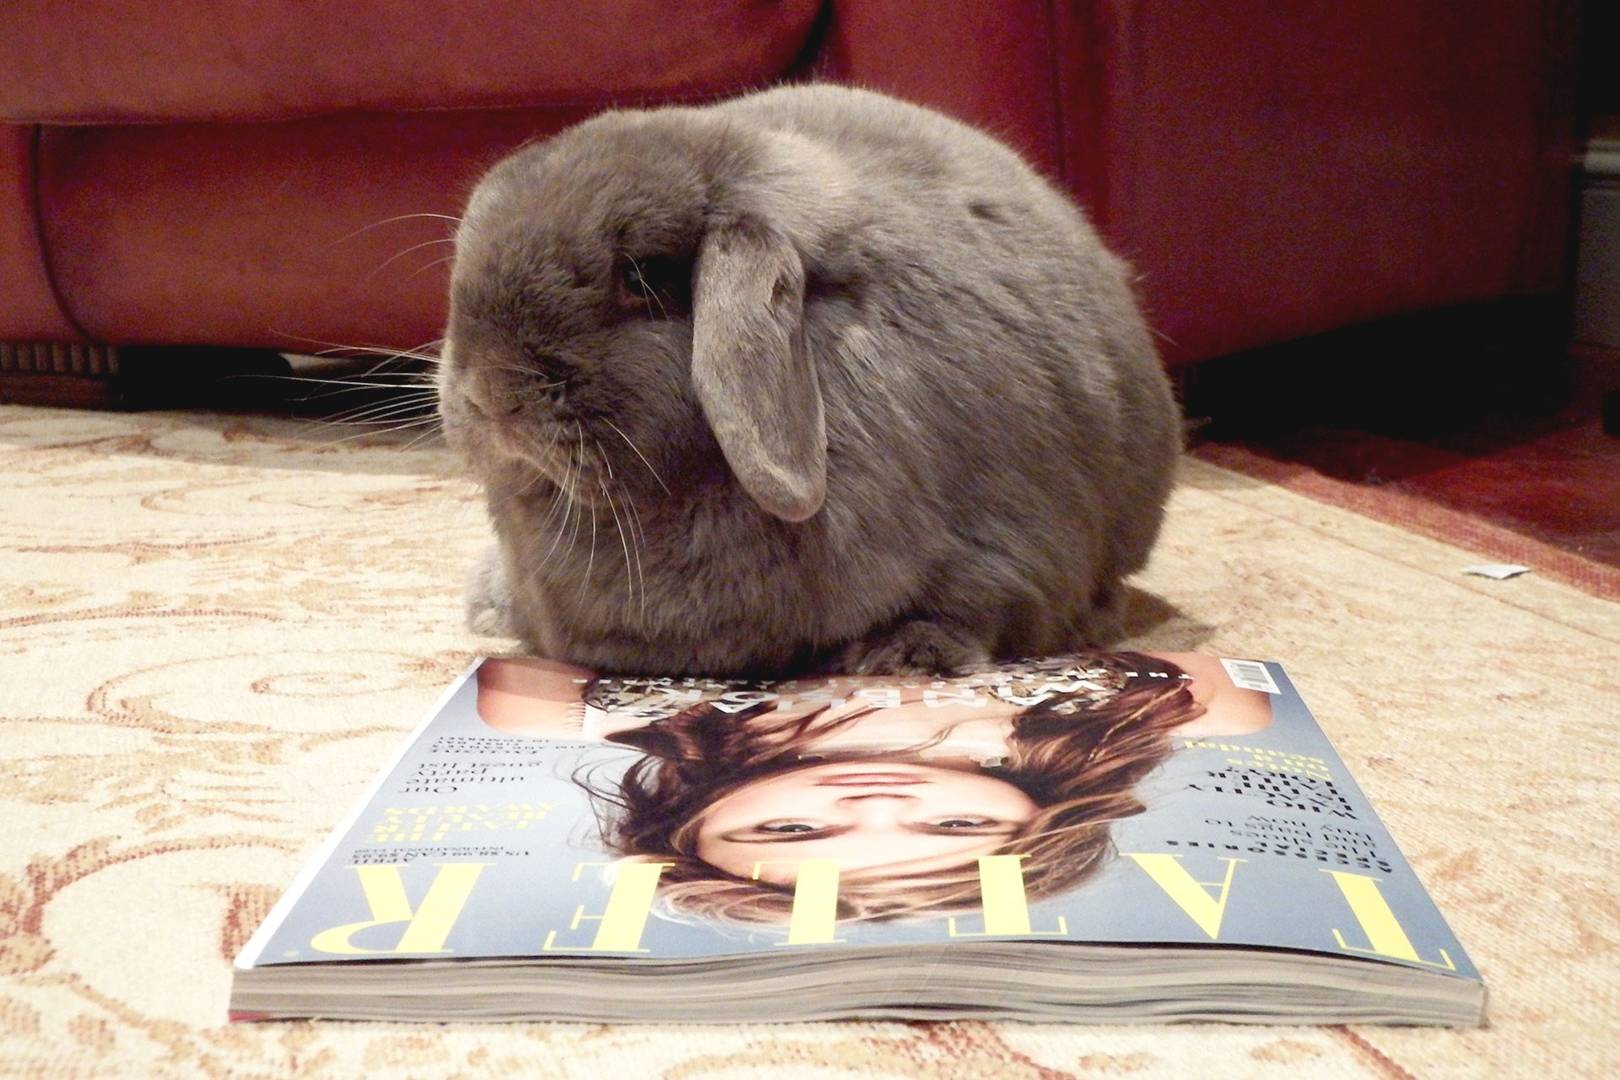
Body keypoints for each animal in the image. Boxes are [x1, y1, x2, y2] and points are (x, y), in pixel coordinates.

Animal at [437, 83, 1181, 677]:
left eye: (643, 275)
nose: (488, 394)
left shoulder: (1012, 549)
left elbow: (979, 605)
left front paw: (901, 657)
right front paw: (490, 607)